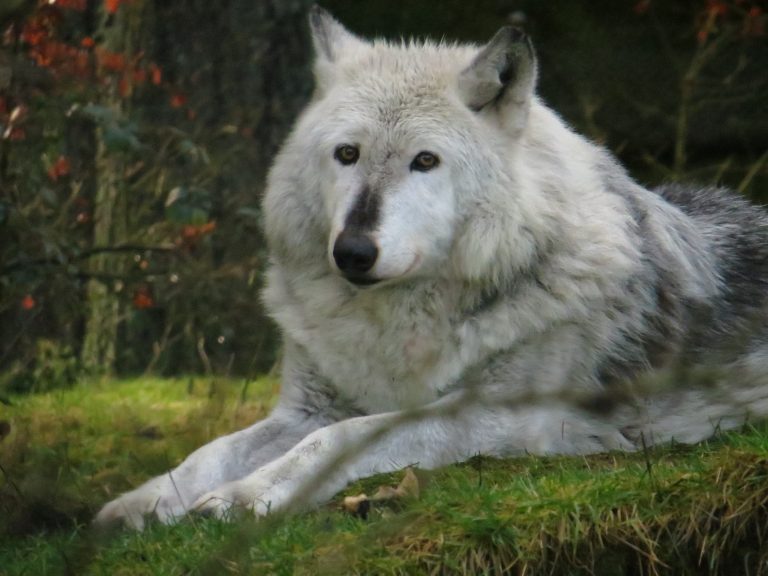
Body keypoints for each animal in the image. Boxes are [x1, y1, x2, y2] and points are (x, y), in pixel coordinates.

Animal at [96, 7, 768, 529]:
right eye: (347, 154)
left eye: (425, 161)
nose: (353, 252)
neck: (394, 320)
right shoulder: (304, 409)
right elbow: (209, 453)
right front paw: (140, 505)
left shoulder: (496, 417)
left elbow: (334, 441)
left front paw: (244, 497)